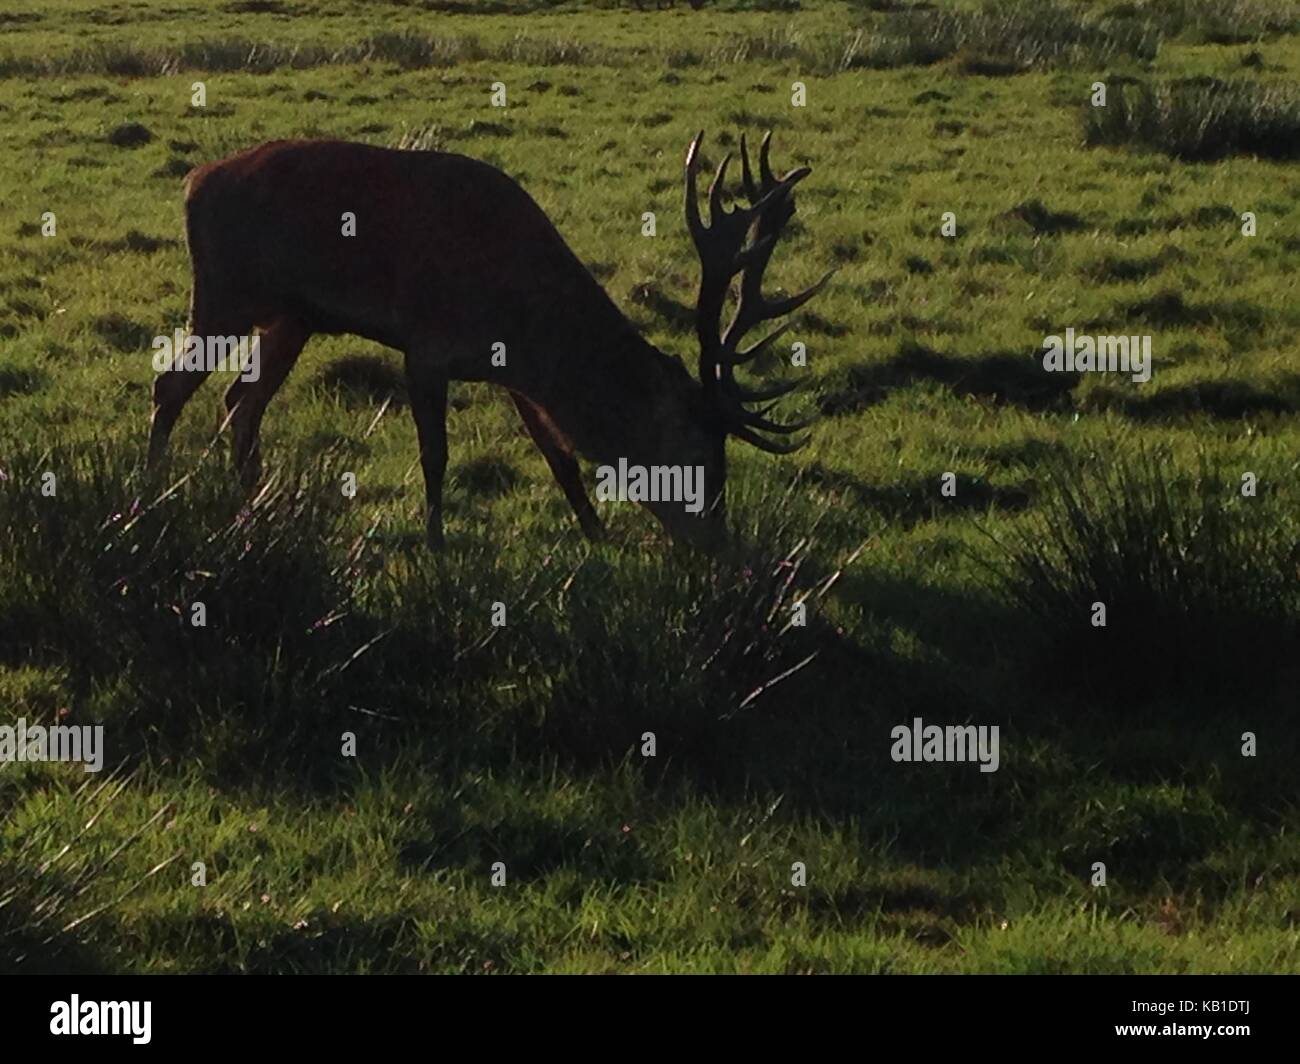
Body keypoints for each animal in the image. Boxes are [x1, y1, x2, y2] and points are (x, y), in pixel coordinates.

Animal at [146, 131, 831, 549]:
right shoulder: (426, 344)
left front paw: (597, 537)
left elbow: (558, 453)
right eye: (697, 450)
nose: (718, 543)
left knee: (240, 401)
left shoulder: (514, 374)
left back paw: (254, 507)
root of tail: (193, 181)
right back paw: (149, 498)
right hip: (224, 292)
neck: (522, 317)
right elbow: (436, 455)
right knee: (171, 384)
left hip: (291, 318)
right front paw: (436, 547)